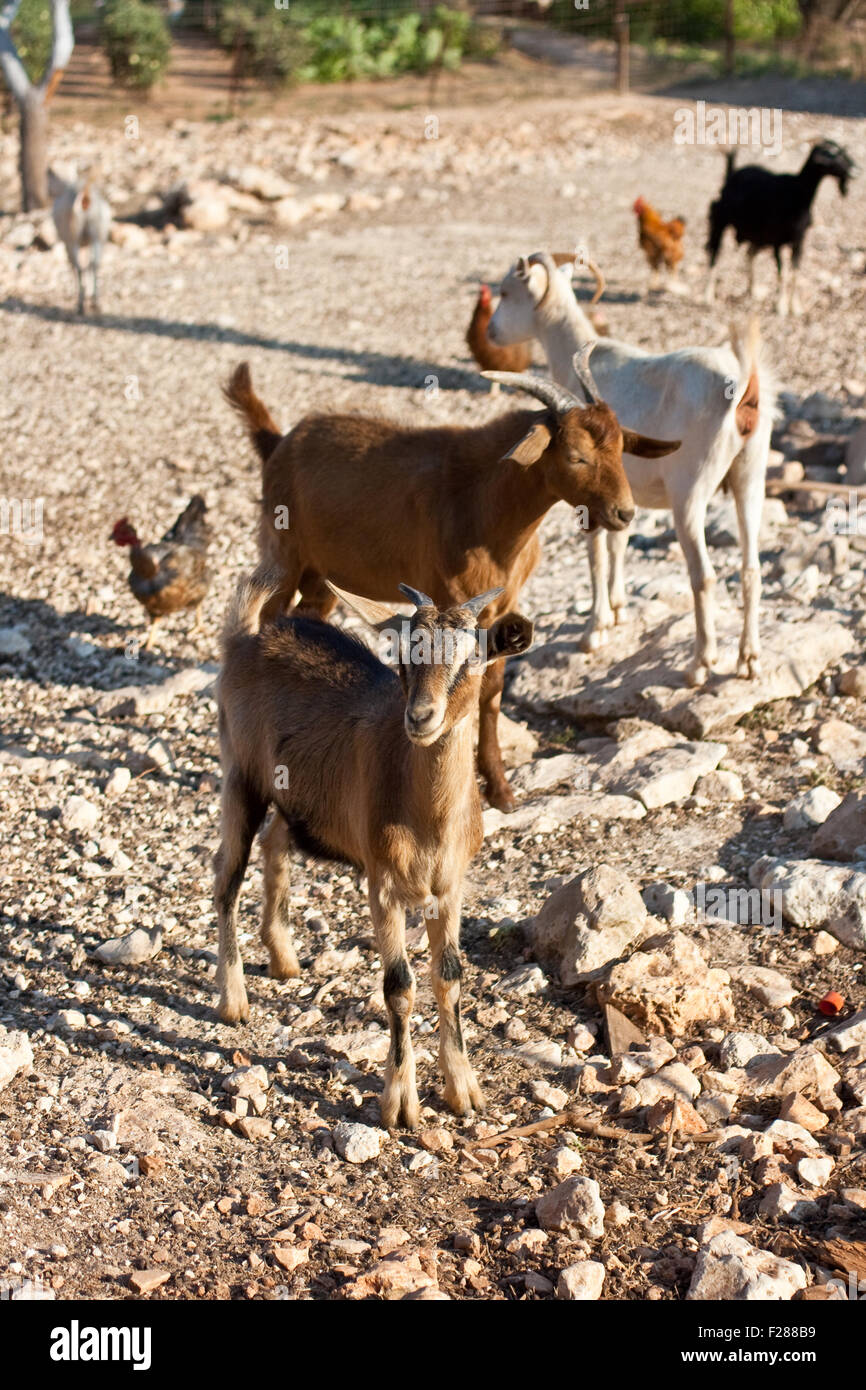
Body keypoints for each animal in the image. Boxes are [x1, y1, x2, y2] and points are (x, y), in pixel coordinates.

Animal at [48, 169, 112, 315]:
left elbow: (74, 266)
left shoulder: (68, 243)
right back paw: (95, 302)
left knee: (79, 267)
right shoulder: (87, 243)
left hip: (73, 239)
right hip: (97, 237)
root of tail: (85, 194)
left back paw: (80, 304)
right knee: (94, 264)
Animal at [214, 567, 534, 1127]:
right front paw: (399, 1103)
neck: (428, 819)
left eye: (472, 656)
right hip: (242, 776)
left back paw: (283, 958)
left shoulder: (449, 887)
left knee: (276, 844)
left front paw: (464, 1089)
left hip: (291, 798)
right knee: (227, 877)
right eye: (403, 657)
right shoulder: (382, 884)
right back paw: (234, 1001)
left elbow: (449, 976)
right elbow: (399, 985)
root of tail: (248, 636)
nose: (421, 718)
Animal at [224, 355, 679, 813]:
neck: (482, 503)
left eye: (621, 449)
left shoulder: (501, 606)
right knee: (271, 614)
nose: (624, 513)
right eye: (575, 456)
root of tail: (279, 443)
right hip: (284, 554)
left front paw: (500, 788)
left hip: (322, 575)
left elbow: (491, 691)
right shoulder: (449, 598)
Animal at [488, 250, 774, 686]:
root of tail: (743, 386)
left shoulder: (587, 494)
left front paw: (594, 630)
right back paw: (749, 658)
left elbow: (596, 553)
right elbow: (618, 542)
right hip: (751, 479)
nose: (490, 331)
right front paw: (619, 609)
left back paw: (700, 663)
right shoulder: (622, 494)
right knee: (751, 570)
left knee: (704, 576)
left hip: (690, 493)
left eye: (506, 291)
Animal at [706, 139, 857, 317]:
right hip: (720, 221)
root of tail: (731, 174)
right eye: (834, 155)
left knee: (749, 254)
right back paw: (708, 296)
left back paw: (753, 290)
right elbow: (782, 274)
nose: (856, 169)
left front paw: (796, 307)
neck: (797, 194)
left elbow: (795, 272)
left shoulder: (799, 240)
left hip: (758, 236)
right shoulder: (777, 241)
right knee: (714, 253)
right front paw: (781, 307)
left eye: (845, 152)